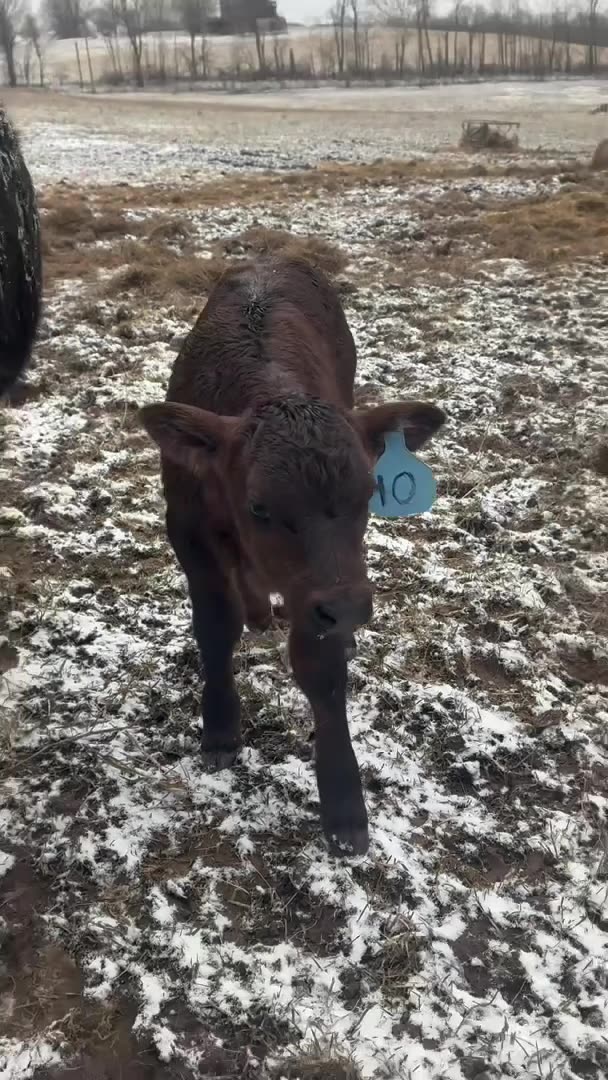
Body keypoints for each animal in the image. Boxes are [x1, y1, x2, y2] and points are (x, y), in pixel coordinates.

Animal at [141, 256, 445, 855]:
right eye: (258, 505)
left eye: (369, 492)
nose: (349, 611)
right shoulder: (186, 530)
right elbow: (215, 627)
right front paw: (219, 729)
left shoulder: (323, 590)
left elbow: (321, 669)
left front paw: (345, 806)